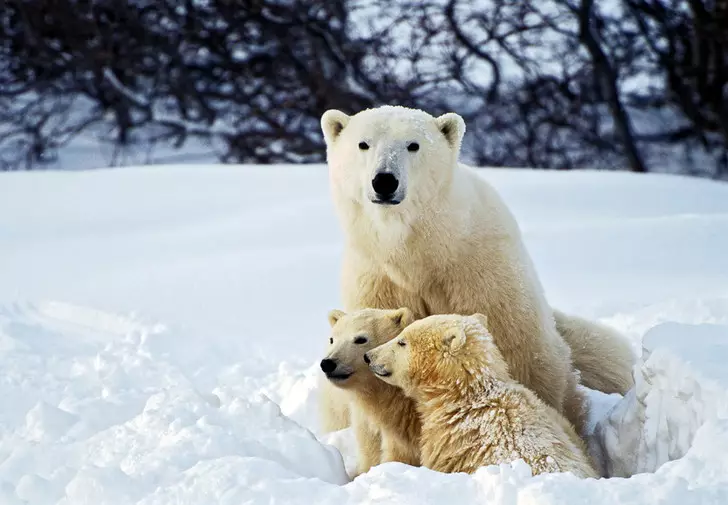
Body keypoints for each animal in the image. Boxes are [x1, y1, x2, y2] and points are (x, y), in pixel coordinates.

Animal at [318, 104, 632, 432]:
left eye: (413, 145)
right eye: (363, 144)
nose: (384, 181)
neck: (420, 251)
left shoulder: (478, 270)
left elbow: (518, 349)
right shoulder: (377, 278)